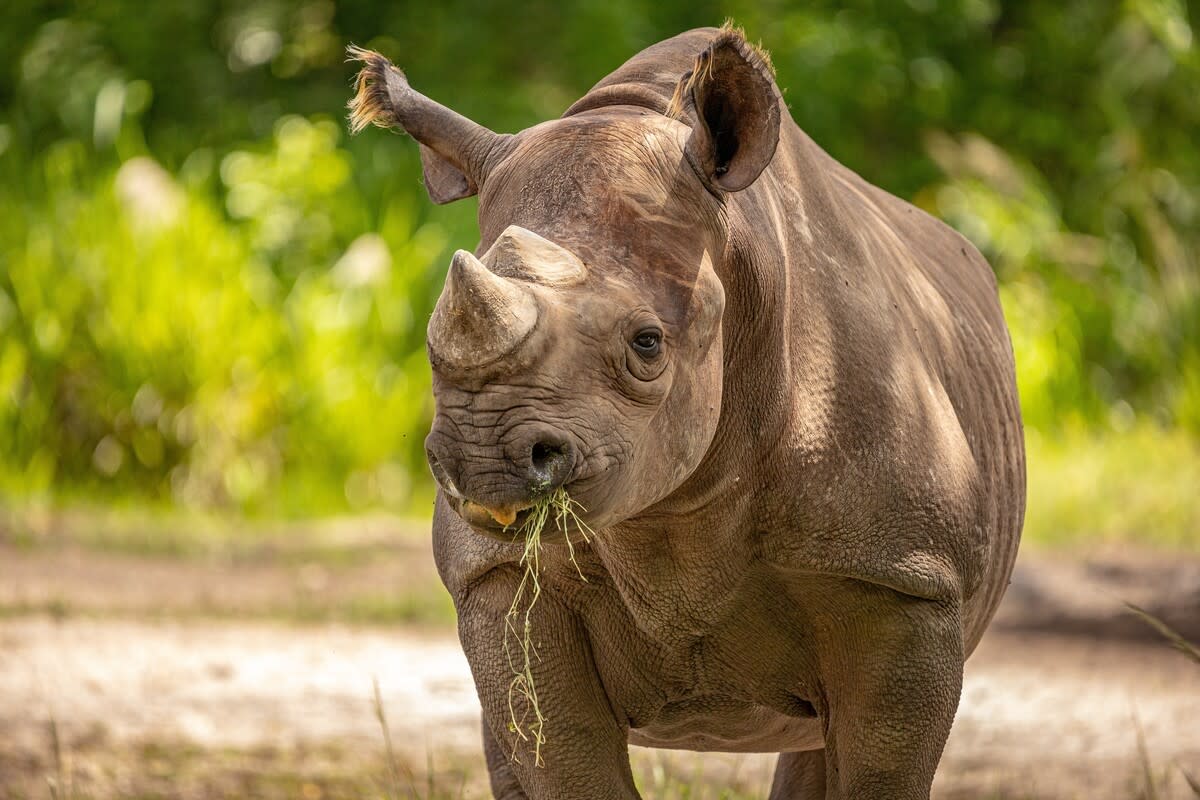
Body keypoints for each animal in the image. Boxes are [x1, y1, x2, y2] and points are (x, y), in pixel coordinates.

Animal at [348, 23, 1024, 800]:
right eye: (431, 341)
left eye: (647, 344)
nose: (481, 459)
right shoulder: (498, 578)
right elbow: (560, 758)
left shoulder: (904, 580)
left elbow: (880, 770)